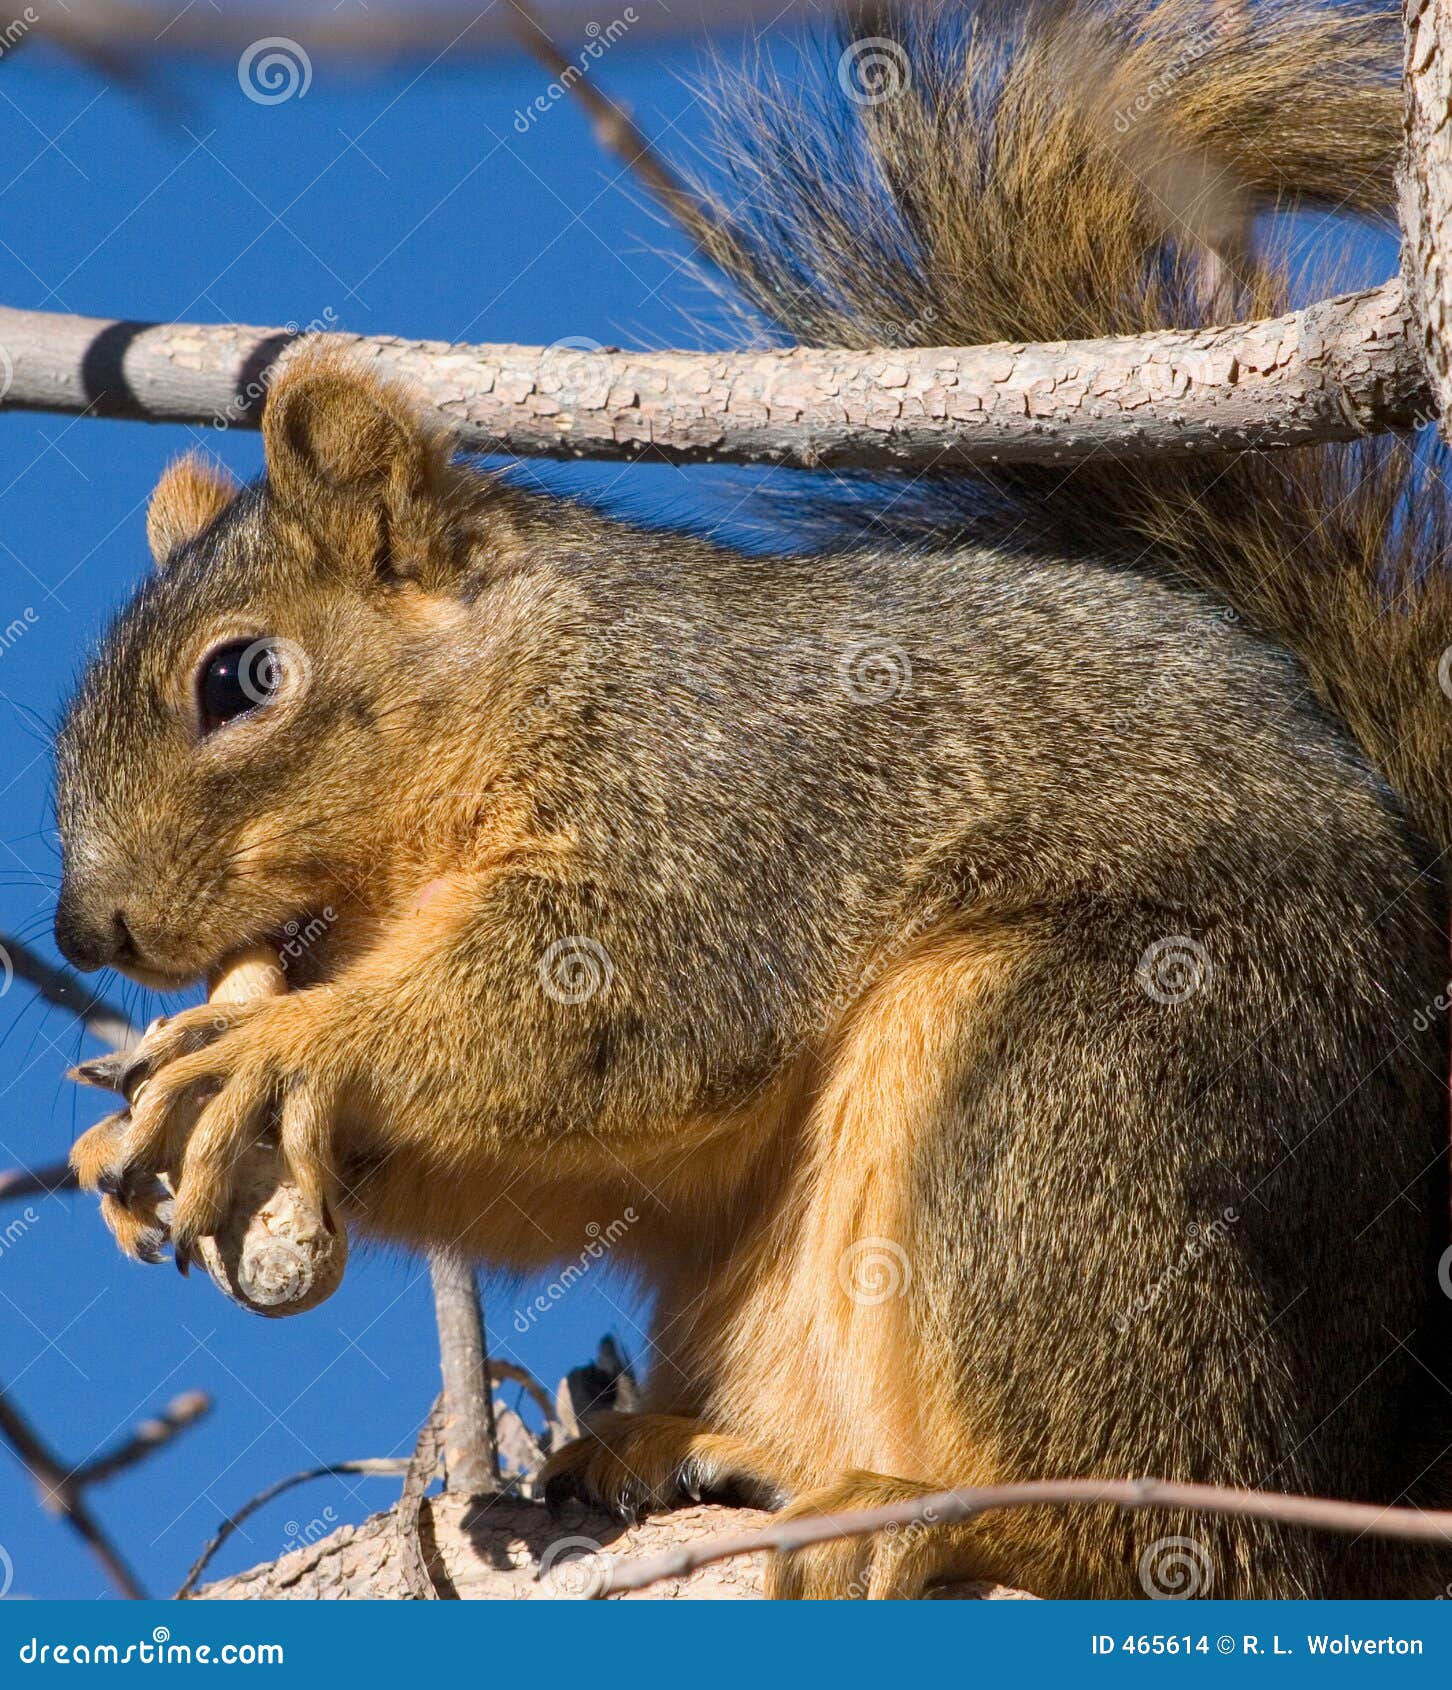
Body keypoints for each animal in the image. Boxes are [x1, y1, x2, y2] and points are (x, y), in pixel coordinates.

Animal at [51, 0, 1452, 1599]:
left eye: (243, 677)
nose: (86, 928)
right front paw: (117, 1130)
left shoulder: (716, 798)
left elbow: (628, 1006)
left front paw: (285, 1043)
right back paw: (704, 1451)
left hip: (1083, 1091)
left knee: (1205, 1535)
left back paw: (977, 1515)